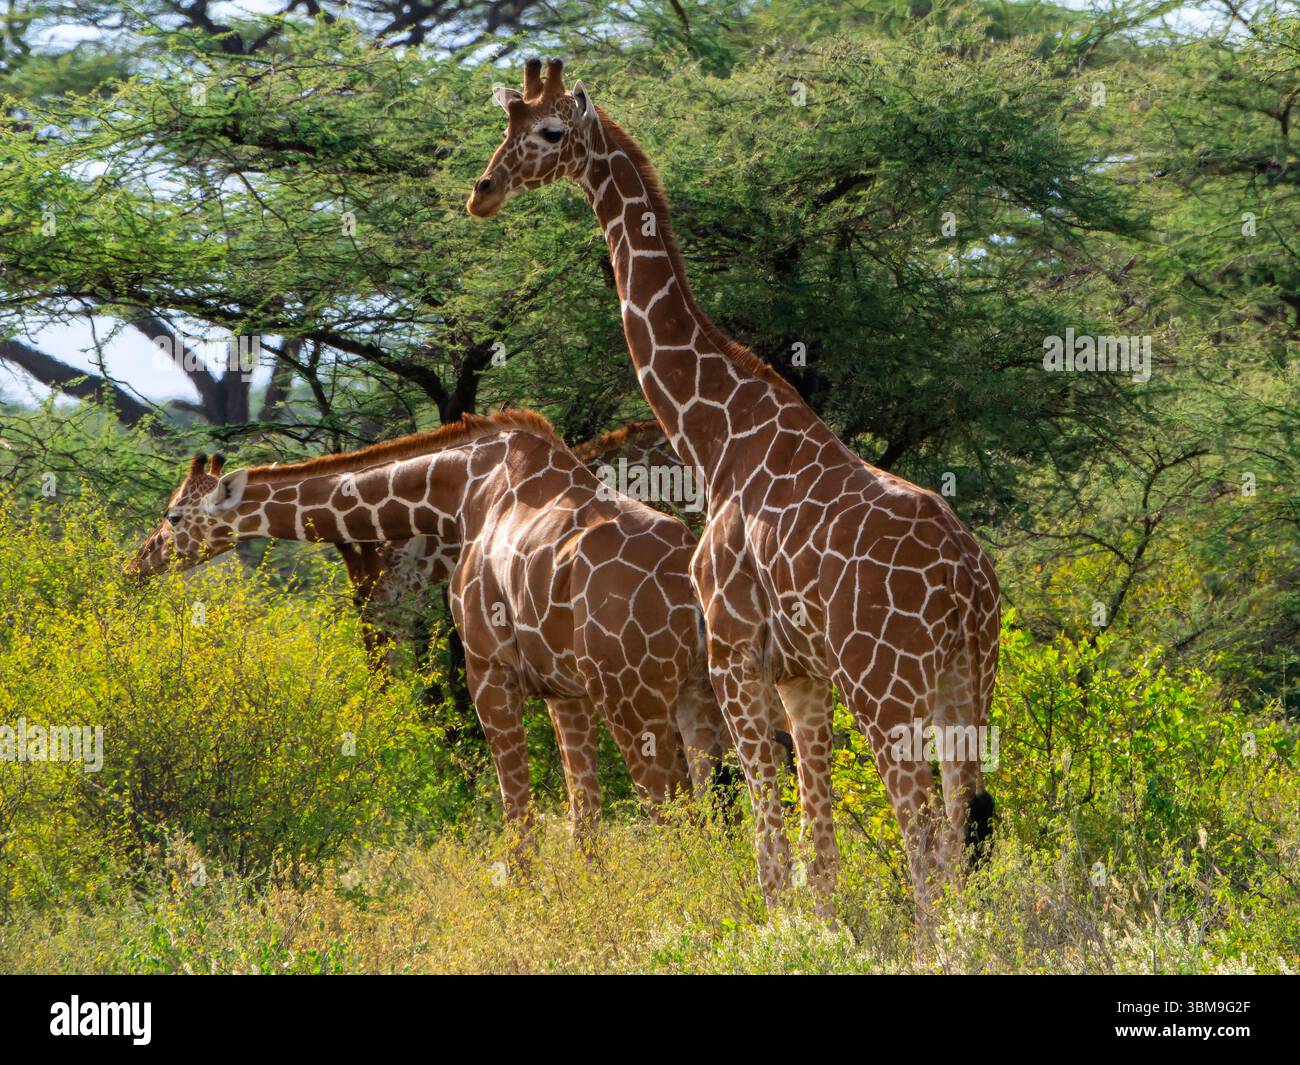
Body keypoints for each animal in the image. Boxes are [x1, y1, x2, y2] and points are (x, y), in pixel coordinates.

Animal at [126, 410, 729, 851]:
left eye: (174, 516)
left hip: (631, 697)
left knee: (677, 810)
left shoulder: (488, 668)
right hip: (702, 691)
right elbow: (584, 819)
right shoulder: (564, 689)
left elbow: (518, 818)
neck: (458, 492)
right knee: (719, 804)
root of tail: (688, 589)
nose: (135, 566)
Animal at [466, 59, 1000, 912]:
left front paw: (775, 921)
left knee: (921, 836)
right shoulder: (800, 673)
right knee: (961, 826)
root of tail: (967, 582)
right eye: (505, 121)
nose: (481, 190)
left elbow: (766, 839)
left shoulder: (731, 648)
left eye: (548, 132)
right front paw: (824, 921)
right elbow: (820, 843)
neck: (715, 438)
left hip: (884, 686)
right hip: (967, 682)